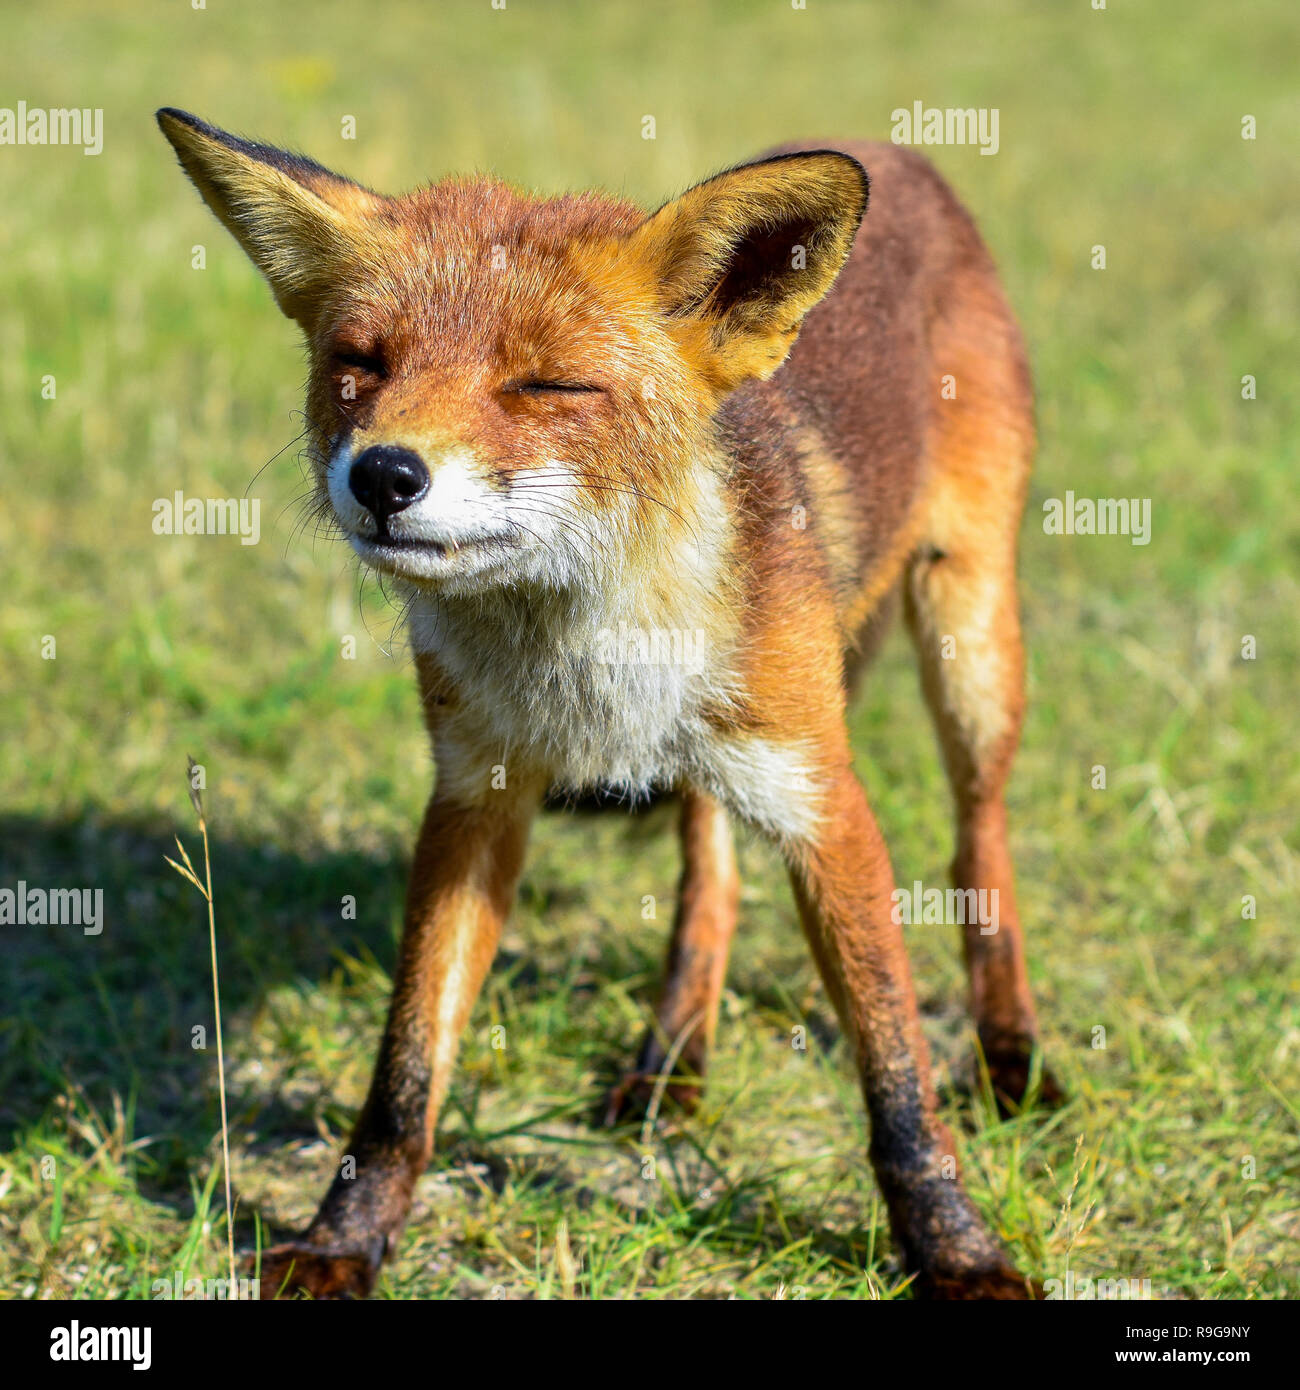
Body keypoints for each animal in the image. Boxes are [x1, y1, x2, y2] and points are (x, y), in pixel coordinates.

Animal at [157, 107, 1060, 1300]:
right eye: (362, 364)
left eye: (544, 386)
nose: (385, 475)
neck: (593, 655)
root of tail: (890, 146)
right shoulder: (475, 799)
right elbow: (404, 1076)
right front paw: (346, 1237)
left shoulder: (825, 805)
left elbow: (896, 1077)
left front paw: (955, 1250)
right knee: (709, 872)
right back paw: (673, 1057)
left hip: (969, 643)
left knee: (978, 842)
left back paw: (1010, 1055)